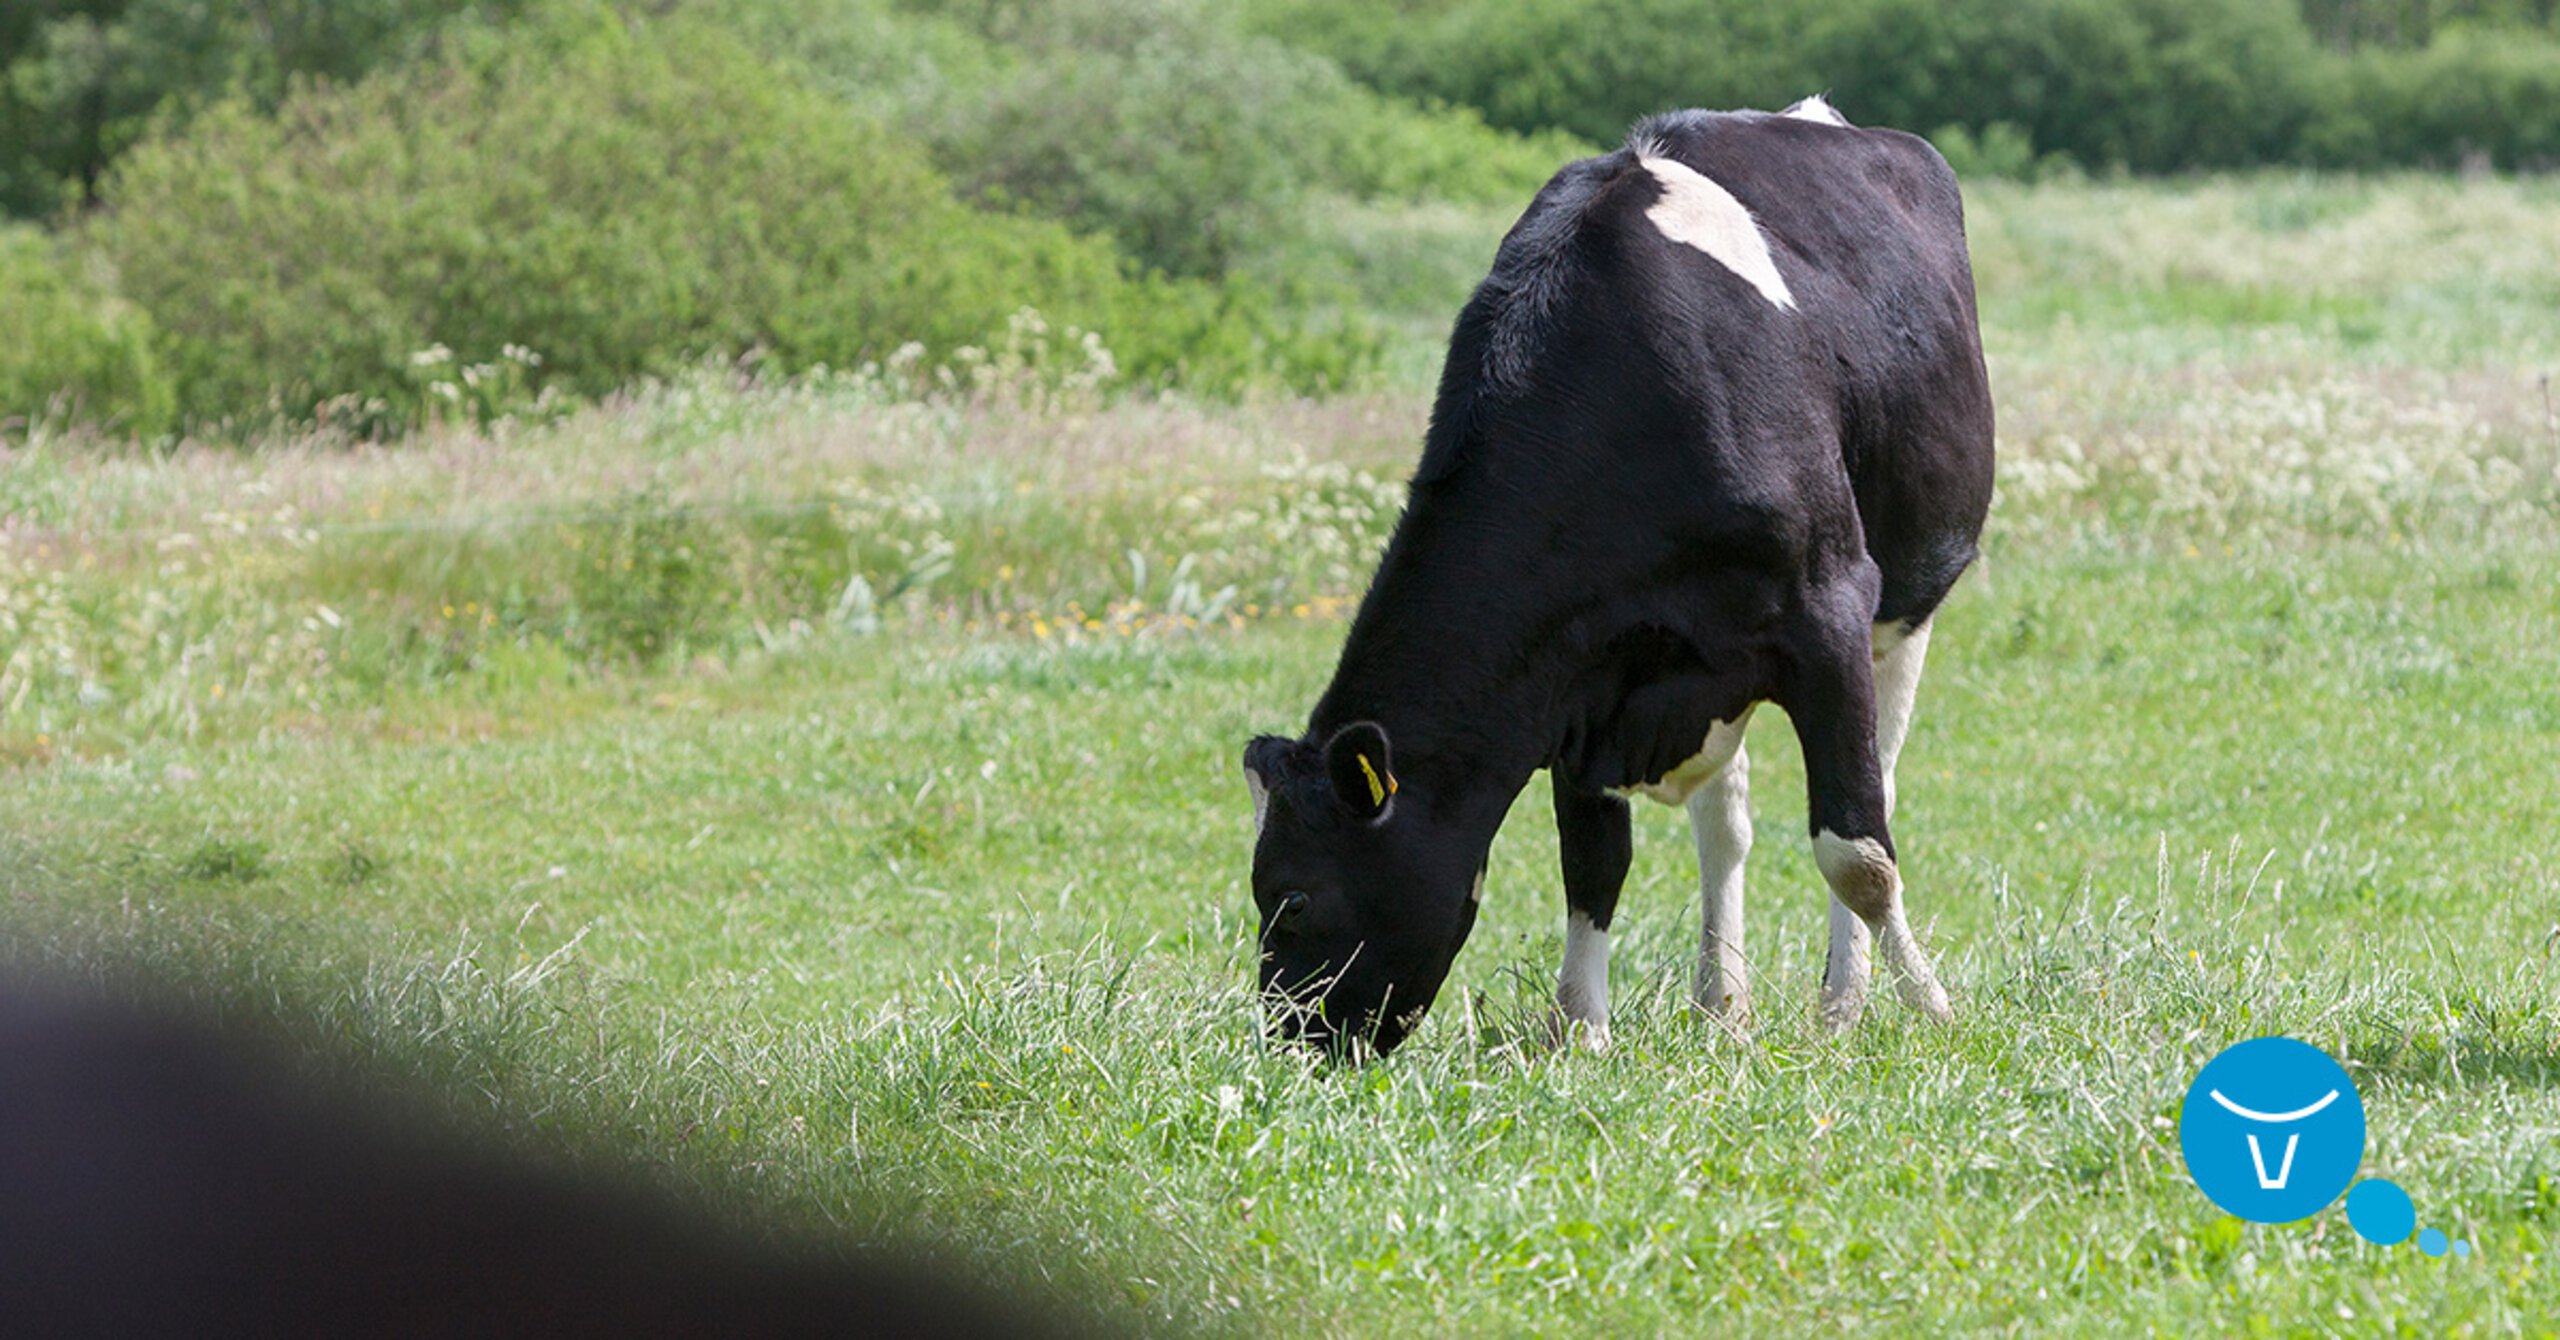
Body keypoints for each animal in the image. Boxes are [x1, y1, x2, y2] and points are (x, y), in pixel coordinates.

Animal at [1241, 96, 1993, 1058]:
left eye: (1292, 899)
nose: (1293, 1045)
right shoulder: (1578, 676)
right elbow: (1593, 864)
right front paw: (1581, 1031)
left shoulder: (1826, 609)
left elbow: (1857, 851)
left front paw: (1926, 1006)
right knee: (1726, 828)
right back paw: (1721, 1003)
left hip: (1903, 610)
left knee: (1875, 792)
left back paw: (1842, 999)